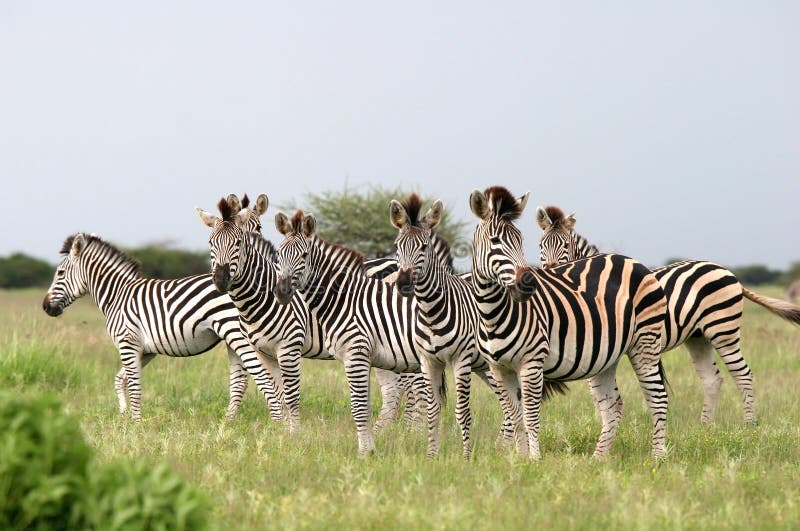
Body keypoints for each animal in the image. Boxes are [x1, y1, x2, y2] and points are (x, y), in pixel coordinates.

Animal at [42, 233, 282, 422]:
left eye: (60, 273)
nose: (45, 307)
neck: (117, 295)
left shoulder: (127, 344)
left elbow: (135, 387)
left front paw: (136, 426)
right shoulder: (146, 351)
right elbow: (120, 380)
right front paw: (123, 414)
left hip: (238, 336)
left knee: (264, 378)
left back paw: (275, 425)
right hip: (232, 339)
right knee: (240, 382)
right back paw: (227, 424)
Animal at [196, 194, 424, 434]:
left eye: (239, 242)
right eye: (211, 243)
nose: (221, 280)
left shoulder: (289, 347)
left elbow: (290, 395)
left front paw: (294, 434)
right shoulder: (264, 351)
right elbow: (278, 394)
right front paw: (282, 433)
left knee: (416, 388)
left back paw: (412, 432)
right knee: (395, 391)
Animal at [273, 209, 438, 457]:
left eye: (303, 255)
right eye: (279, 255)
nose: (282, 293)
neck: (344, 300)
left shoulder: (355, 354)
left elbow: (358, 407)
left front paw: (364, 454)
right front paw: (371, 449)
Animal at [469, 186, 670, 460]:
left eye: (520, 240)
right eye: (495, 241)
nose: (527, 285)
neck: (493, 313)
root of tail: (634, 262)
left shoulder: (532, 364)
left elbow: (530, 418)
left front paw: (534, 461)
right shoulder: (499, 369)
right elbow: (516, 418)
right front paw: (519, 460)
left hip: (645, 342)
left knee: (658, 399)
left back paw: (657, 459)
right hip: (606, 356)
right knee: (613, 405)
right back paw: (598, 460)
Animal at [536, 204, 800, 424]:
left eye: (565, 245)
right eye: (541, 246)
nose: (550, 268)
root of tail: (725, 270)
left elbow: (596, 391)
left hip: (723, 329)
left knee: (743, 374)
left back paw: (749, 425)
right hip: (698, 337)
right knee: (712, 379)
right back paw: (705, 429)